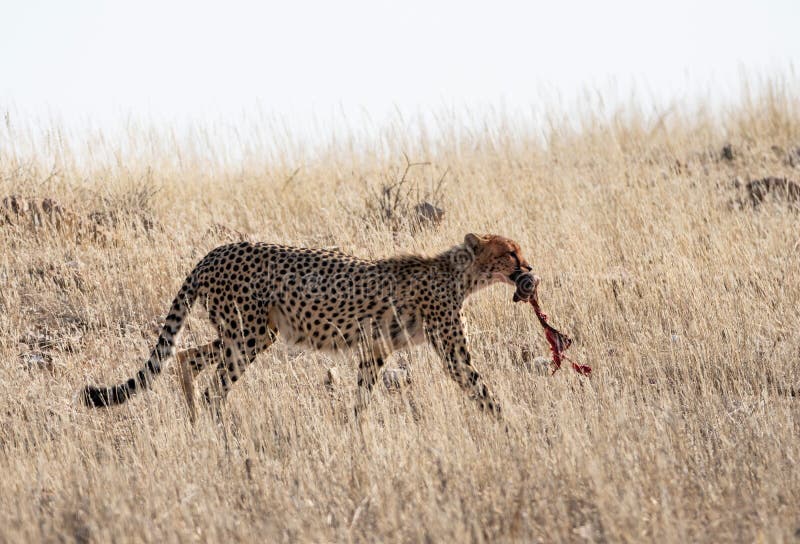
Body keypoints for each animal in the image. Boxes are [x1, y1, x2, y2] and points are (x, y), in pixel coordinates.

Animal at [80, 233, 535, 420]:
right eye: (510, 253)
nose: (529, 270)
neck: (459, 273)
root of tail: (215, 251)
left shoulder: (375, 349)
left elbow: (362, 396)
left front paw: (354, 430)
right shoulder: (453, 353)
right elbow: (481, 388)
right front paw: (512, 427)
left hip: (247, 332)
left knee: (187, 358)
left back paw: (194, 423)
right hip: (248, 334)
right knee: (214, 388)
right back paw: (221, 434)